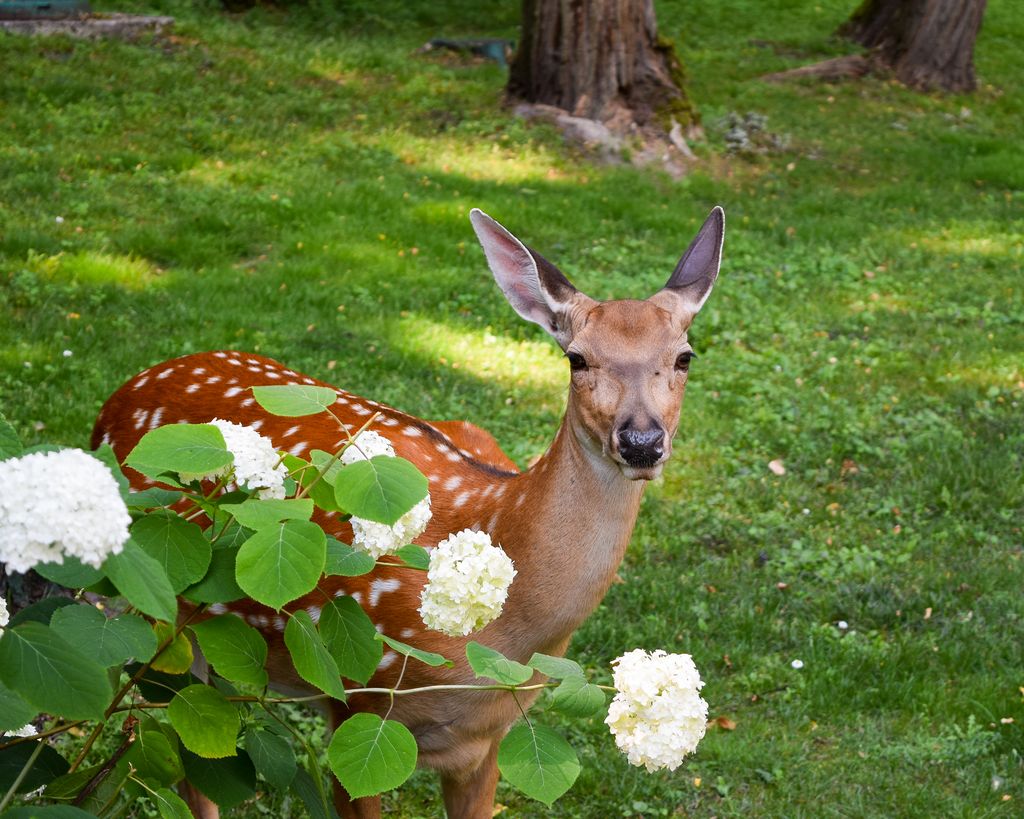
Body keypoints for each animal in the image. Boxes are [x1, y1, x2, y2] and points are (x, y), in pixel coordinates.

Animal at [91, 205, 724, 819]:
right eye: (576, 359)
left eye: (684, 357)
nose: (641, 442)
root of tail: (120, 396)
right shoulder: (357, 699)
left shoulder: (491, 736)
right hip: (155, 613)